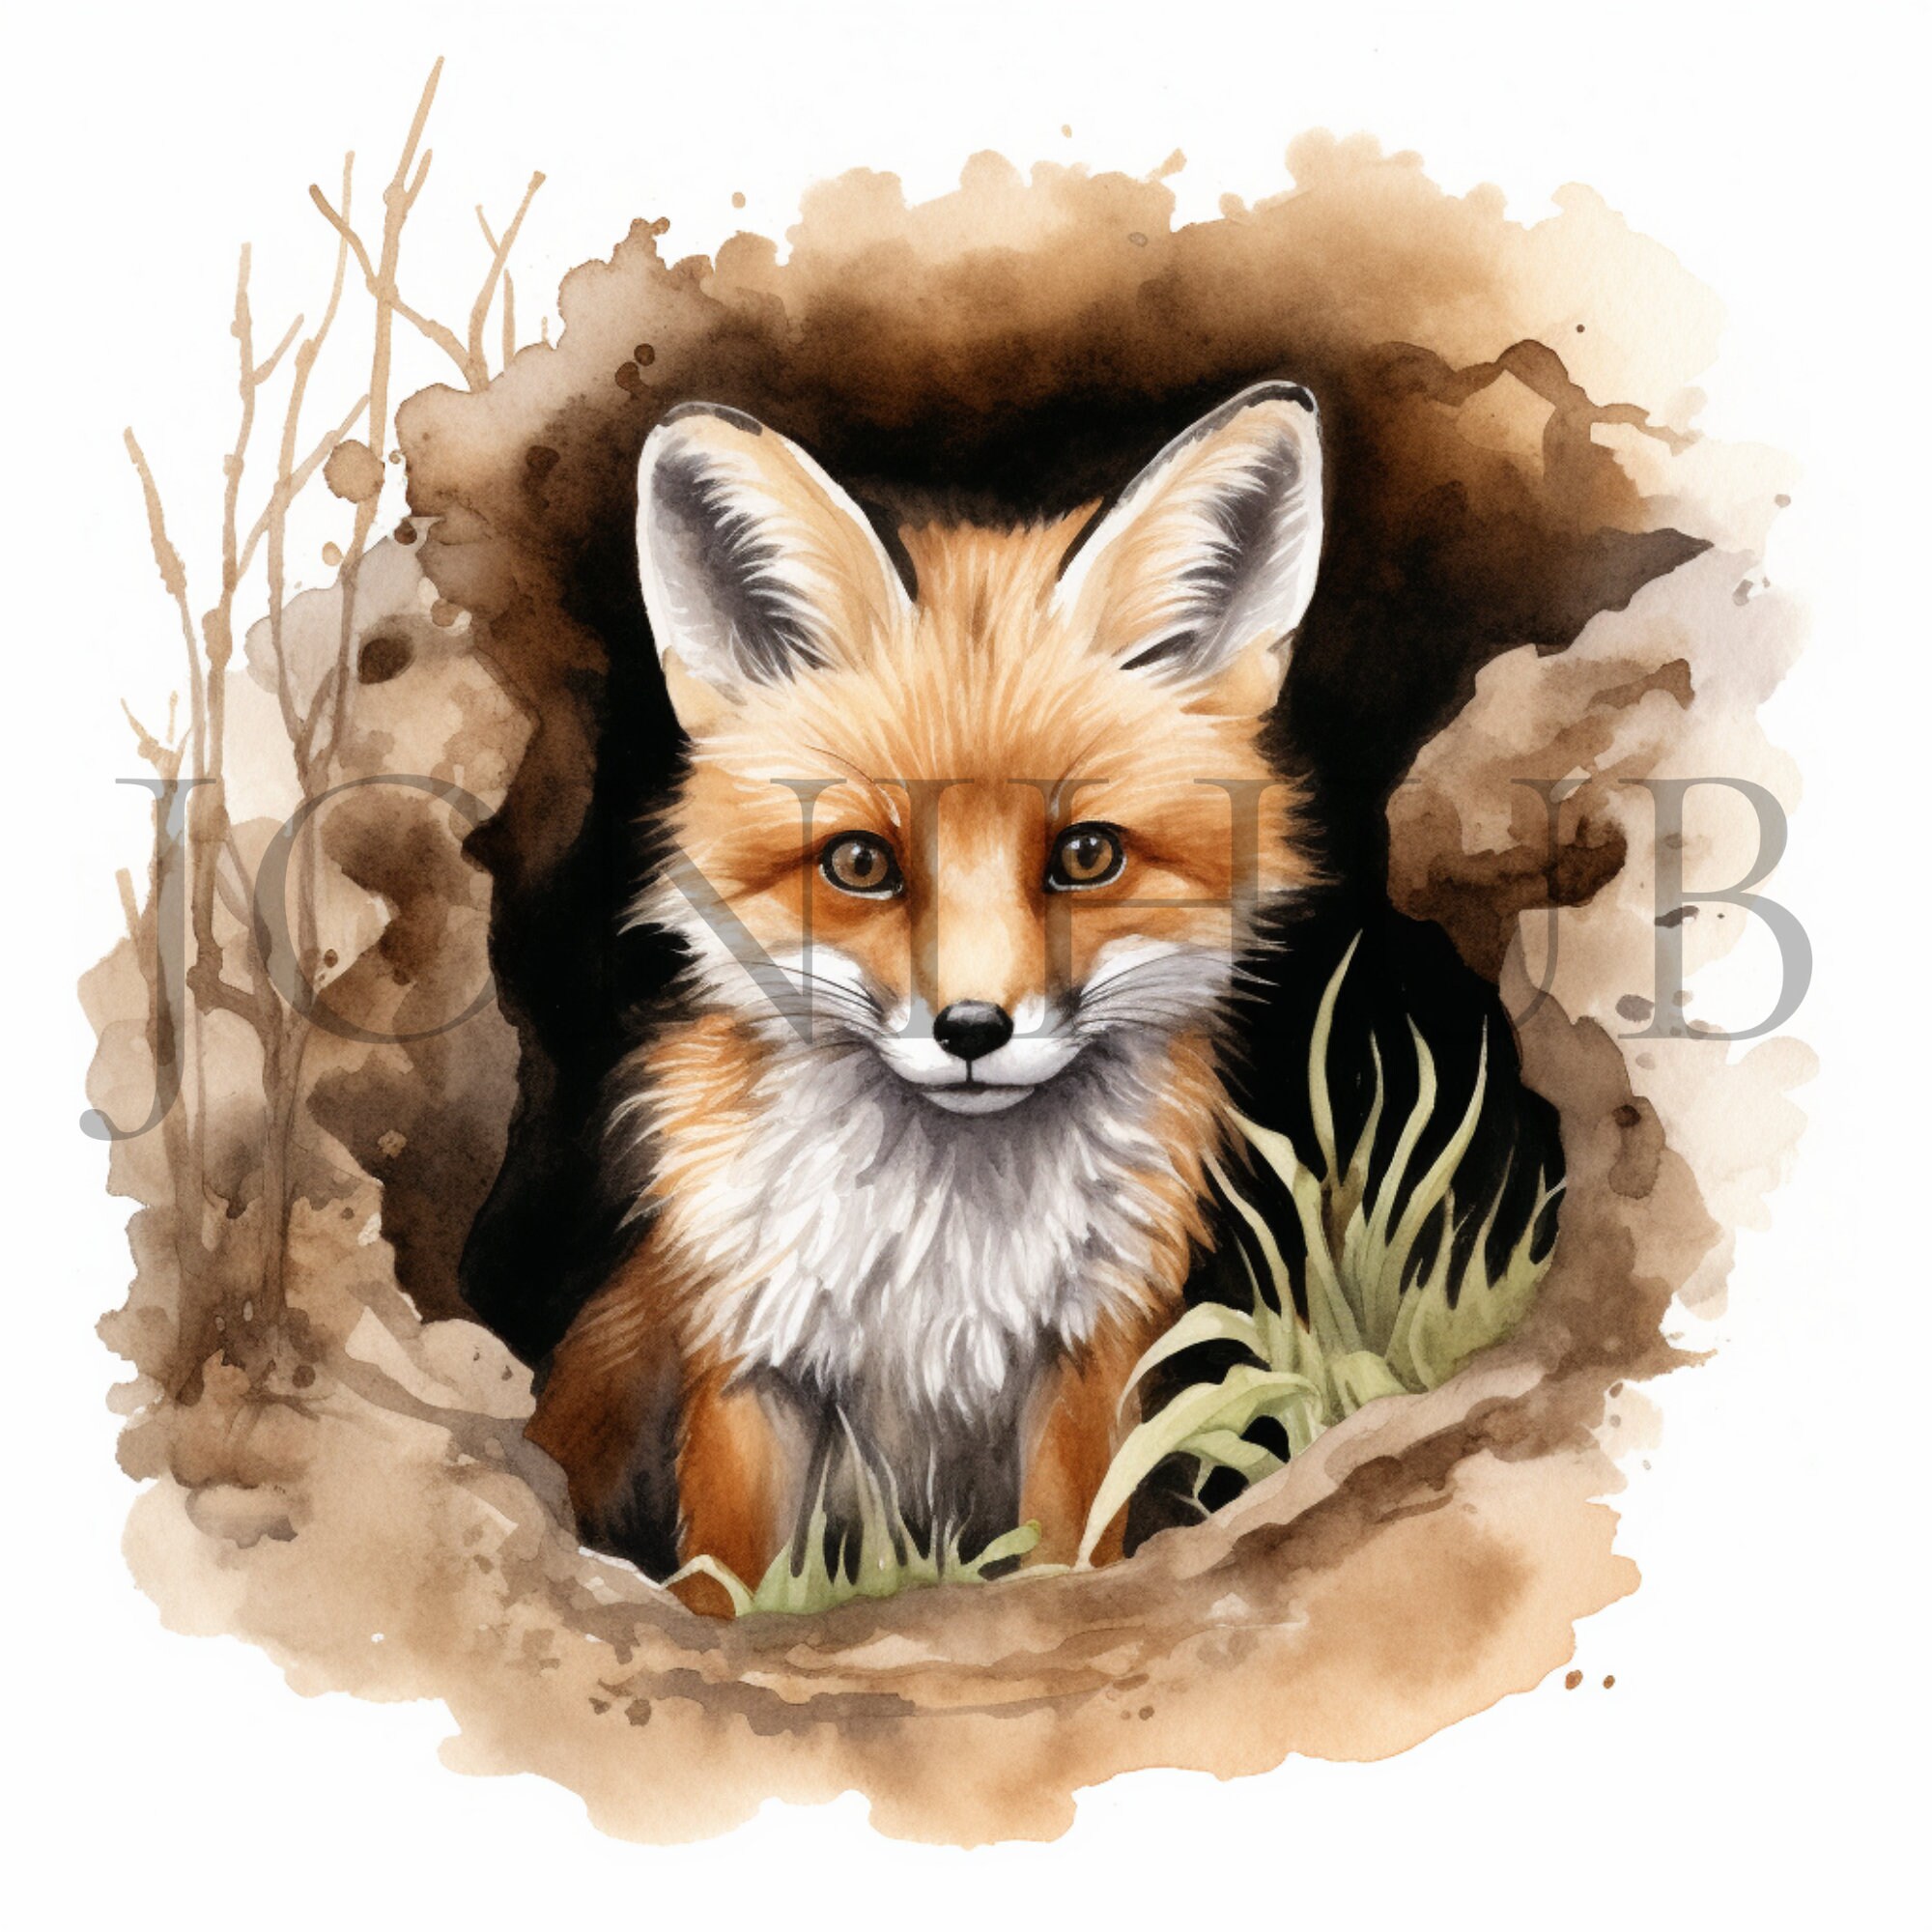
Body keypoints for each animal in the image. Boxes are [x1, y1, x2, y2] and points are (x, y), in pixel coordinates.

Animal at [526, 381, 1326, 1608]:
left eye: (1086, 854)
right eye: (861, 862)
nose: (972, 1030)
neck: (943, 1252)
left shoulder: (1087, 1362)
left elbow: (1068, 1554)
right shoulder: (751, 1360)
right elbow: (728, 1586)